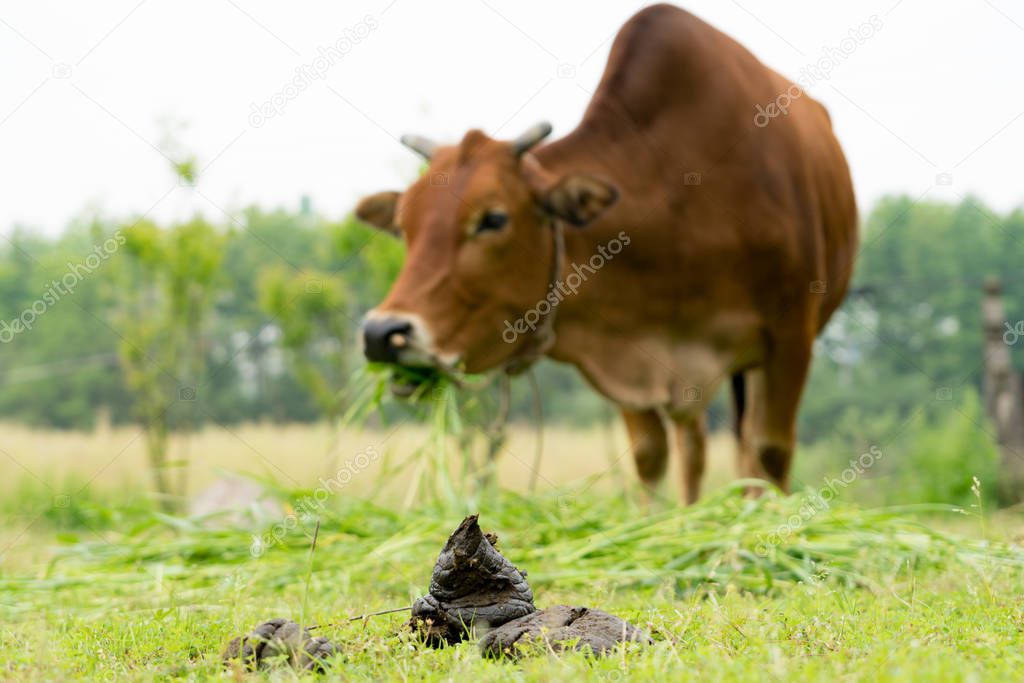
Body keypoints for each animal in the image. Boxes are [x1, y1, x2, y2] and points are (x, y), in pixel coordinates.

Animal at [354, 3, 857, 503]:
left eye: (493, 219)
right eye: (403, 226)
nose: (382, 333)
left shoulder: (791, 336)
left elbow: (770, 452)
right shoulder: (627, 348)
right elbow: (650, 455)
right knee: (692, 445)